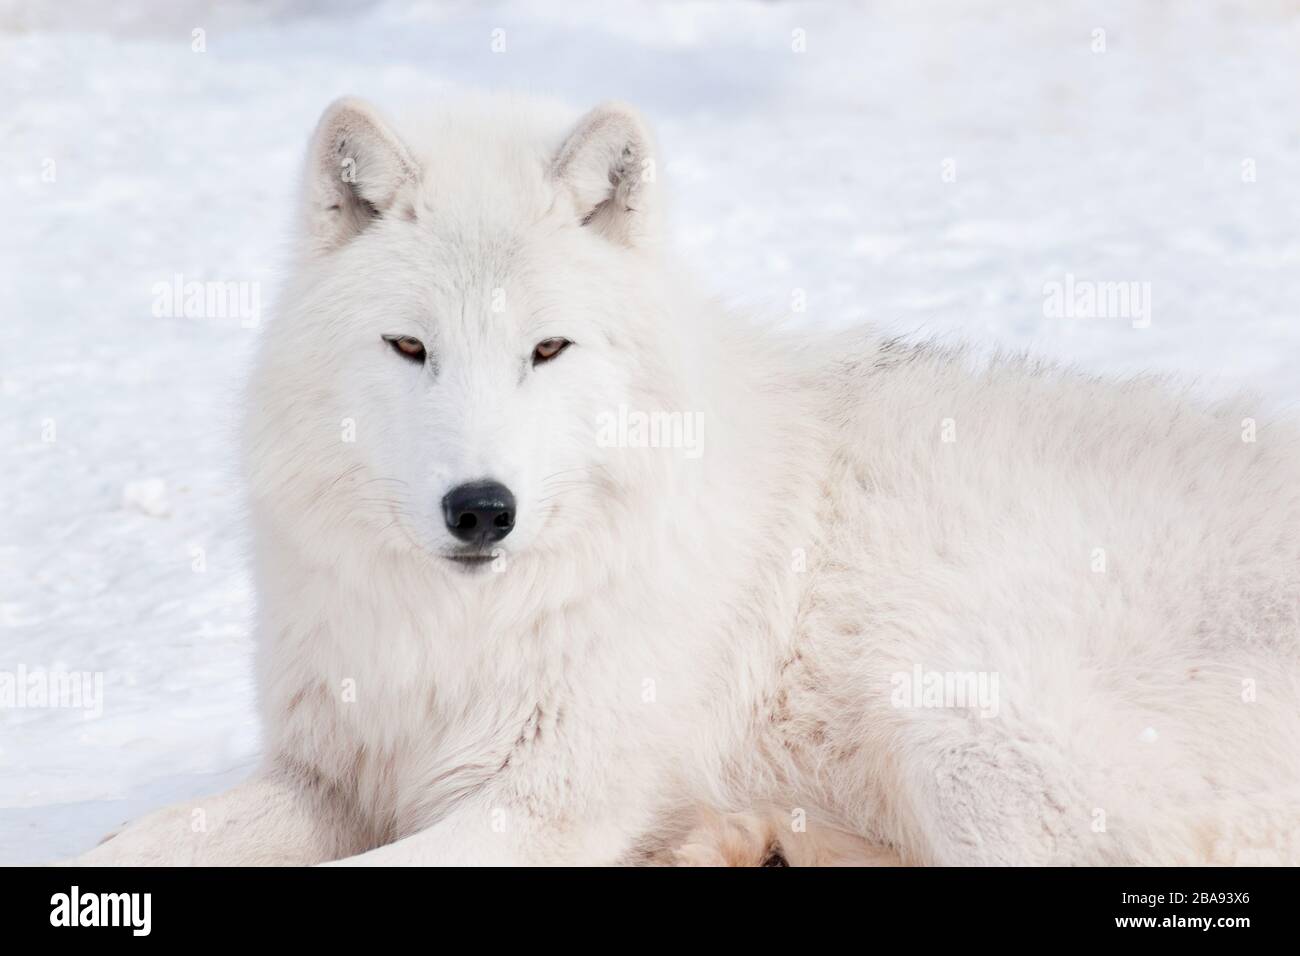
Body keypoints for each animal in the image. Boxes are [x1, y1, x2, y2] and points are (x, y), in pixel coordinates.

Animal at [73, 94, 1300, 866]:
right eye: (409, 347)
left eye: (548, 349)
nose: (481, 509)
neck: (462, 630)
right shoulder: (337, 772)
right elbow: (144, 838)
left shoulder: (543, 805)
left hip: (958, 719)